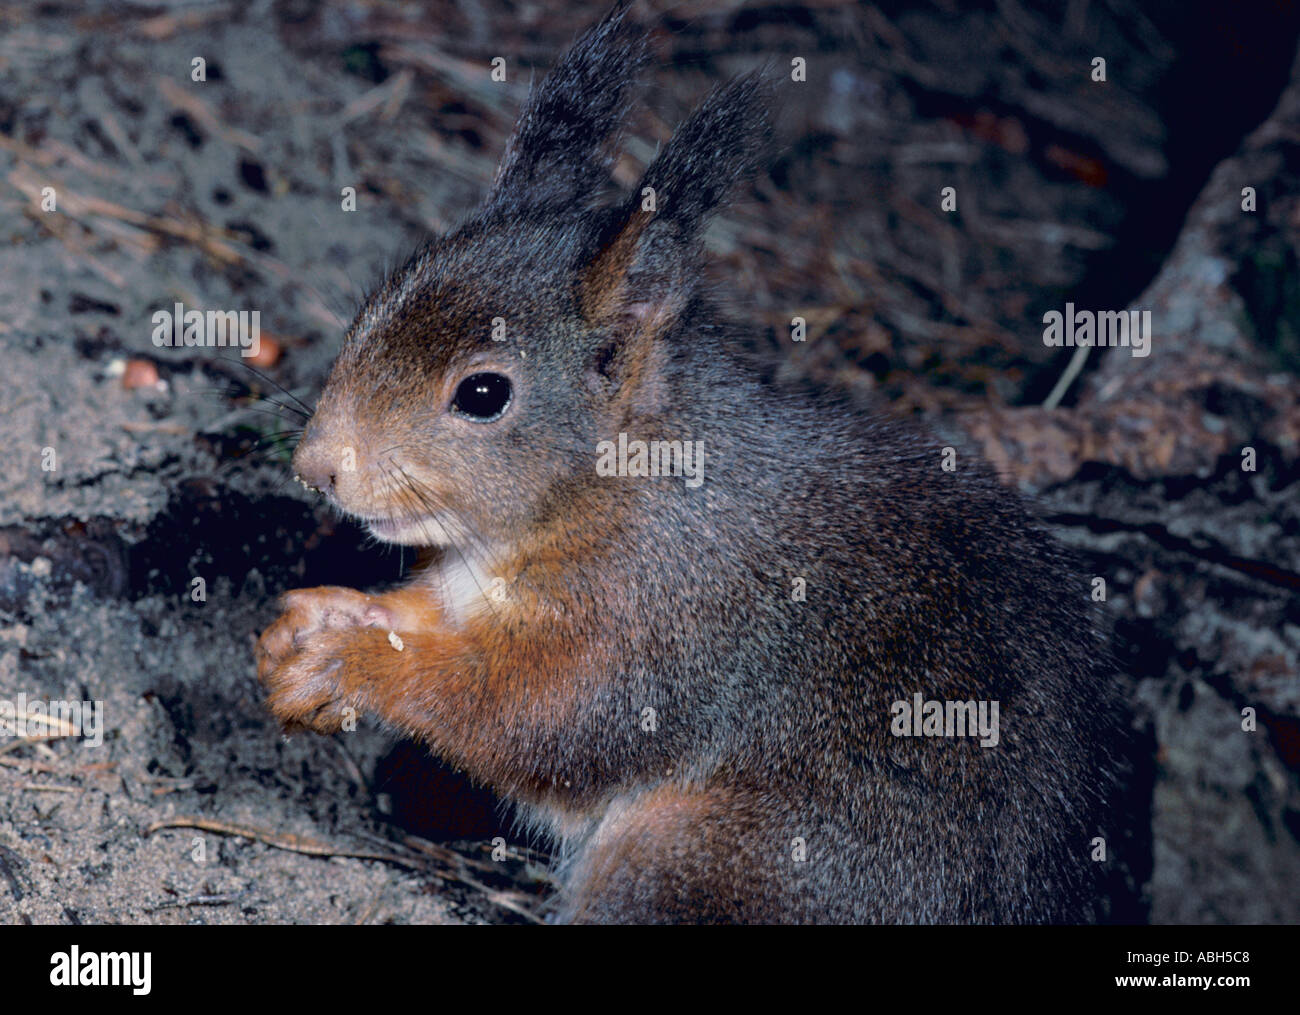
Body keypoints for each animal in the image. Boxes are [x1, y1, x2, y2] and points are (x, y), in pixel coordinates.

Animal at [256, 5, 1124, 924]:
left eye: (484, 393)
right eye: (374, 303)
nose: (316, 466)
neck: (608, 492)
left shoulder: (662, 624)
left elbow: (535, 716)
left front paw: (353, 663)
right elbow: (431, 619)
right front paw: (319, 620)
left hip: (699, 857)